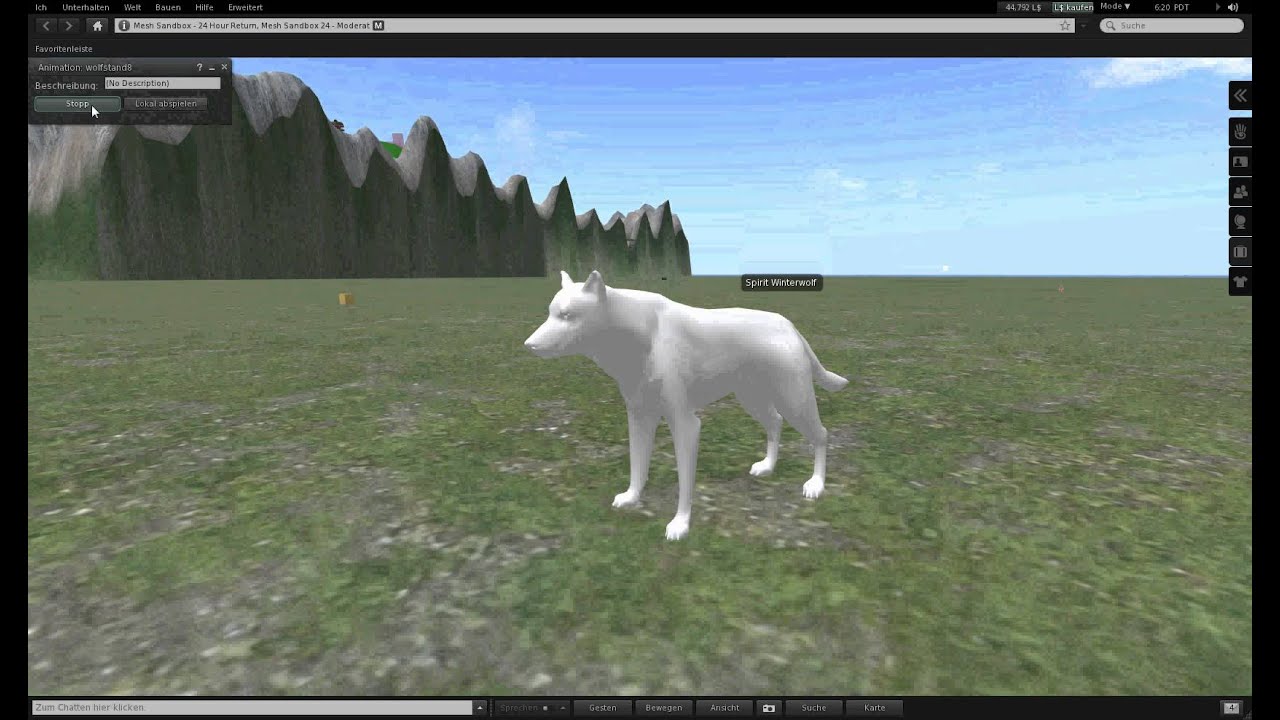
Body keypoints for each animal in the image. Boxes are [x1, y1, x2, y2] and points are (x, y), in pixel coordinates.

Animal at [523, 270, 849, 540]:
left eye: (567, 315)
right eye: (550, 313)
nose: (529, 345)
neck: (639, 335)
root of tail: (789, 325)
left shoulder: (685, 424)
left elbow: (684, 484)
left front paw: (680, 525)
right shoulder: (638, 417)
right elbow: (637, 466)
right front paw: (632, 498)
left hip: (795, 399)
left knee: (821, 435)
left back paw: (816, 485)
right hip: (754, 397)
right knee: (776, 422)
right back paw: (768, 466)